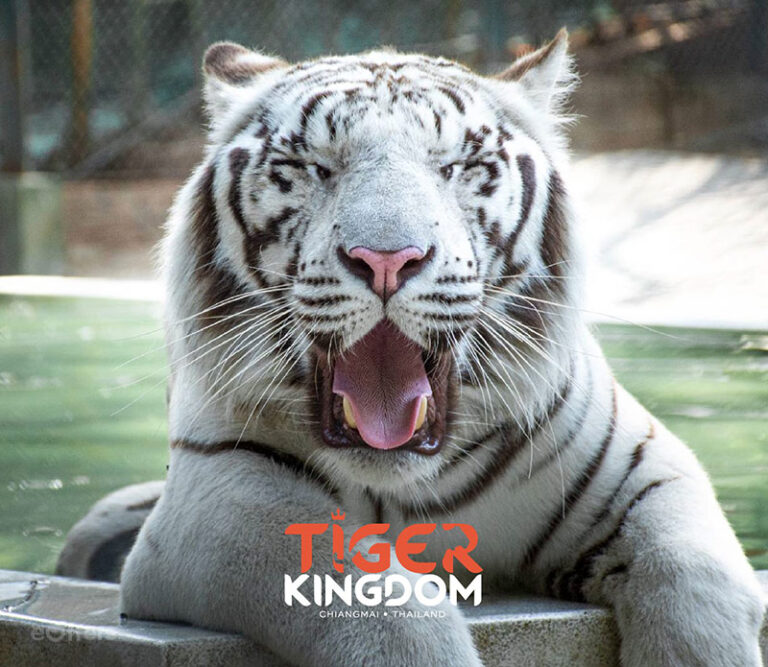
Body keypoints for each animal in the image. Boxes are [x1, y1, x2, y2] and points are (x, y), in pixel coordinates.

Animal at [58, 31, 764, 666]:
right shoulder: (217, 496)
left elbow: (696, 589)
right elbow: (370, 595)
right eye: (315, 168)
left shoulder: (645, 472)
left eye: (456, 168)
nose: (387, 260)